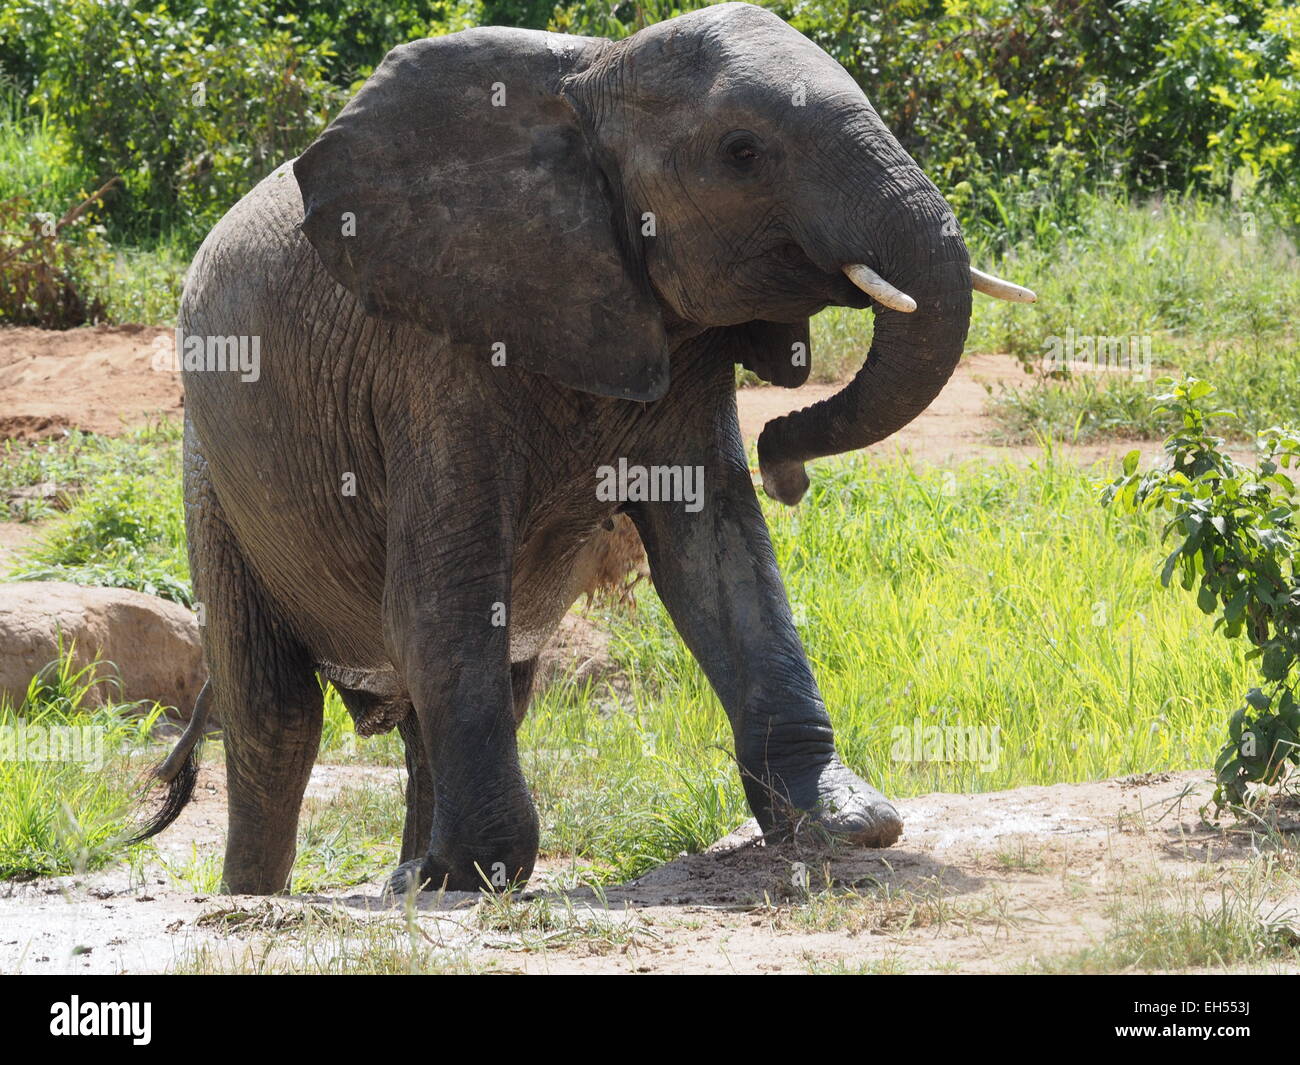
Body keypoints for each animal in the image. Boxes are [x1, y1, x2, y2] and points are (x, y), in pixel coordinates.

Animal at [136, 2, 1035, 894]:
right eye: (742, 154)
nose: (785, 463)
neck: (598, 73)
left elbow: (721, 564)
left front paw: (847, 824)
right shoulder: (432, 353)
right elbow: (438, 596)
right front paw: (485, 870)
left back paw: (412, 877)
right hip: (211, 479)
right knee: (275, 715)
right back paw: (280, 891)